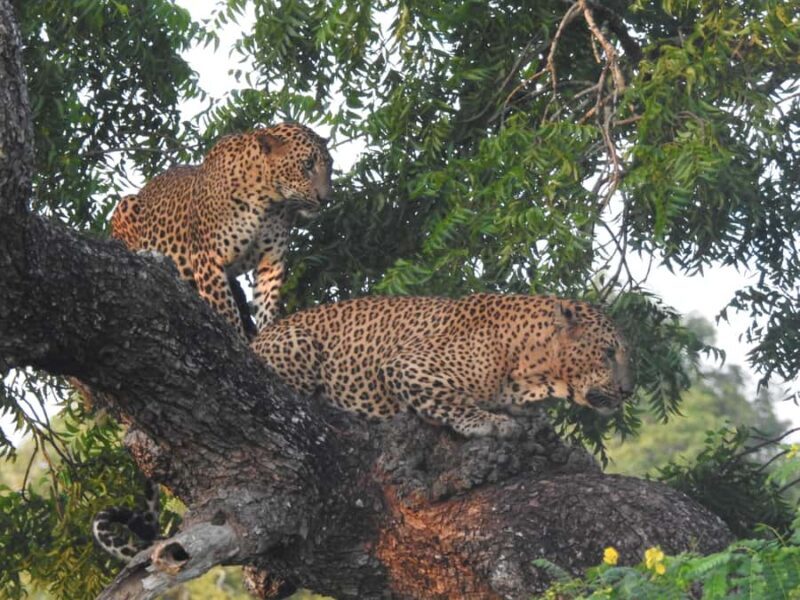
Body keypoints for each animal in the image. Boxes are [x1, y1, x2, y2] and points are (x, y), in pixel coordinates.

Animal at [110, 122, 333, 338]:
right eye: (307, 165)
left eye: (329, 168)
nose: (325, 199)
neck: (270, 202)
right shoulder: (207, 257)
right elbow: (227, 312)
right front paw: (240, 339)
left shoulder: (271, 262)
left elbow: (266, 307)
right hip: (126, 205)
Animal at [251, 293, 634, 438]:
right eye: (607, 353)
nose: (628, 391)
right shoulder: (405, 365)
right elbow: (450, 400)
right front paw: (489, 422)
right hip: (300, 342)